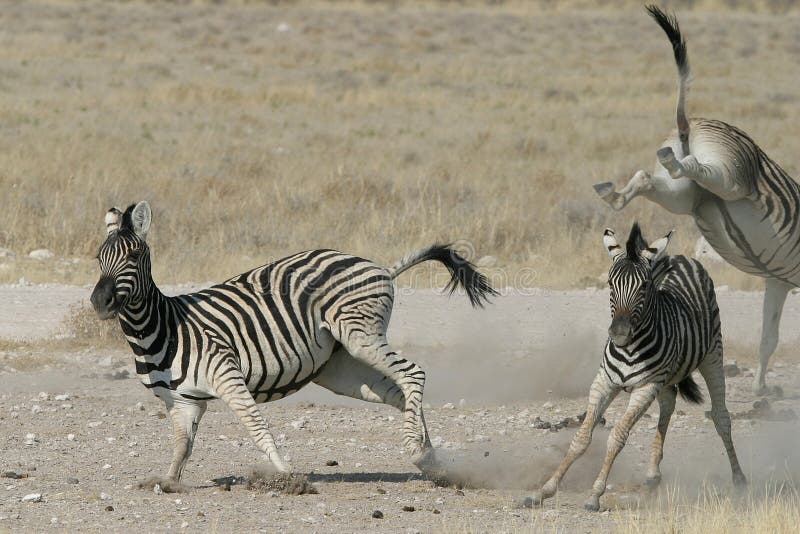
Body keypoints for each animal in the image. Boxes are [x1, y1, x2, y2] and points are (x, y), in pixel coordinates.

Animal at [90, 201, 497, 490]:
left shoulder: (227, 376)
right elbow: (182, 446)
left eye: (134, 256)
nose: (100, 301)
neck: (161, 328)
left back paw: (416, 449)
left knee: (413, 374)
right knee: (398, 393)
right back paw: (430, 459)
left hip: (361, 336)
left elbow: (257, 428)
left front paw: (288, 476)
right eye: (98, 258)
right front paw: (168, 481)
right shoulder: (181, 402)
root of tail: (379, 266)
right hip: (342, 370)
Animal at [530, 223, 746, 511]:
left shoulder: (645, 387)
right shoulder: (604, 381)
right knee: (668, 404)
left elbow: (616, 437)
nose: (619, 333)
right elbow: (581, 437)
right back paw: (653, 475)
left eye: (644, 286)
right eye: (610, 284)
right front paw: (544, 490)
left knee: (721, 417)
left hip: (712, 354)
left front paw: (594, 495)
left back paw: (739, 479)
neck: (630, 348)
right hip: (666, 377)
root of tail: (680, 257)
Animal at [594, 5, 800, 396]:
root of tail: (693, 123)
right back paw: (672, 164)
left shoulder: (777, 280)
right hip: (731, 179)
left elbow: (768, 337)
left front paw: (760, 390)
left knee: (651, 177)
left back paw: (614, 192)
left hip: (682, 196)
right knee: (696, 168)